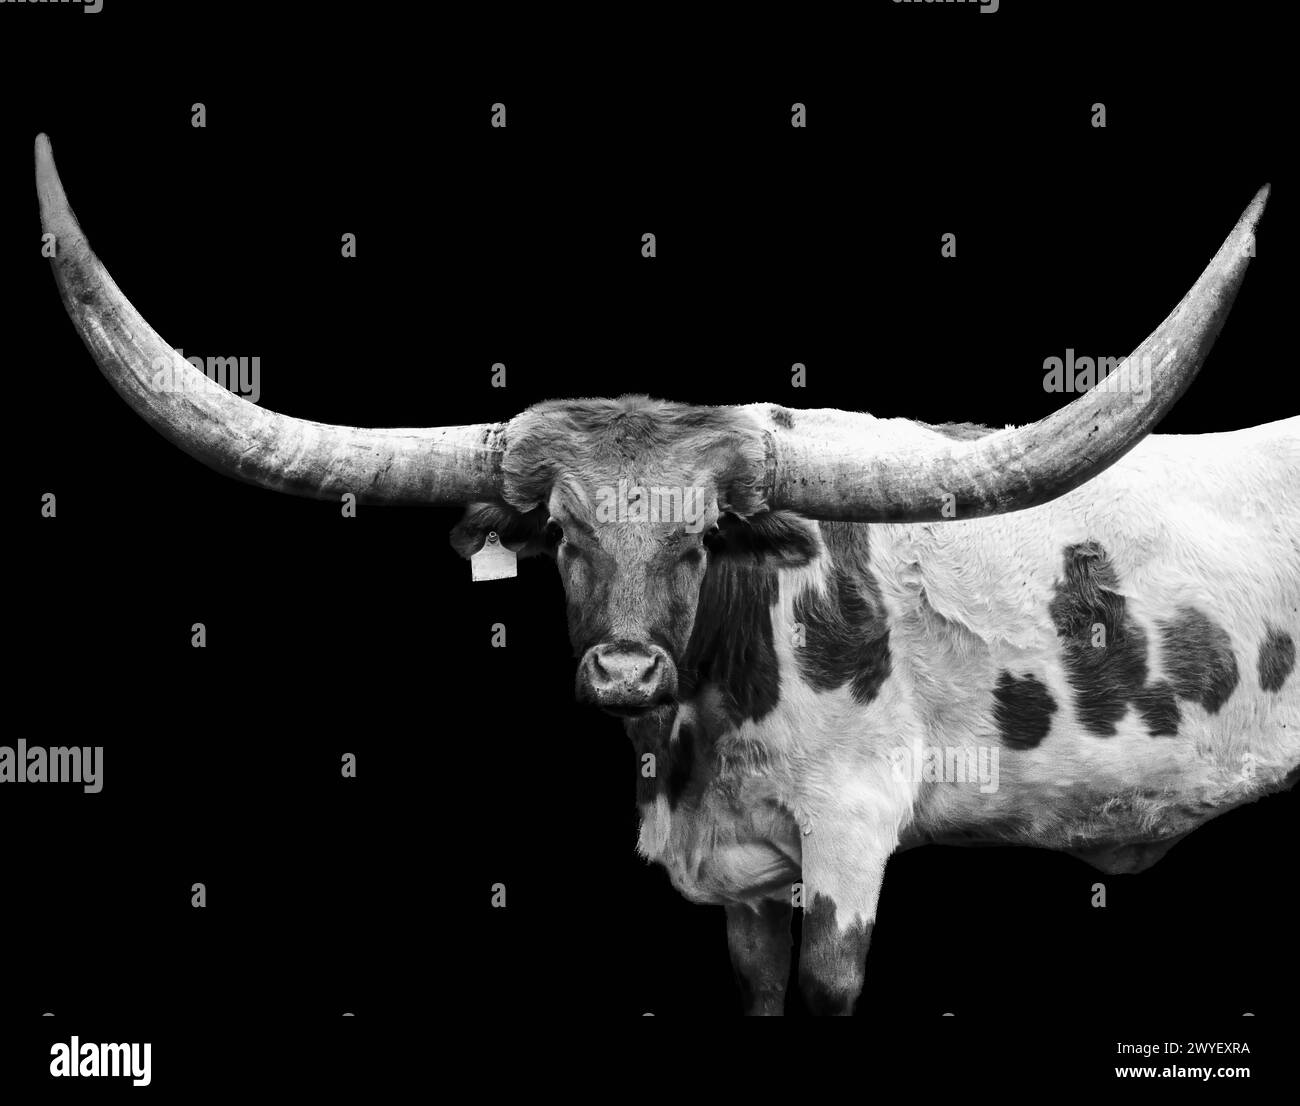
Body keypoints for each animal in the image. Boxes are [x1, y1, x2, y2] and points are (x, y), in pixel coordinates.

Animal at [36, 133, 1298, 1015]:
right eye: (564, 535)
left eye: (700, 538)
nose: (626, 670)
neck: (700, 726)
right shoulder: (745, 885)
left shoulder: (849, 834)